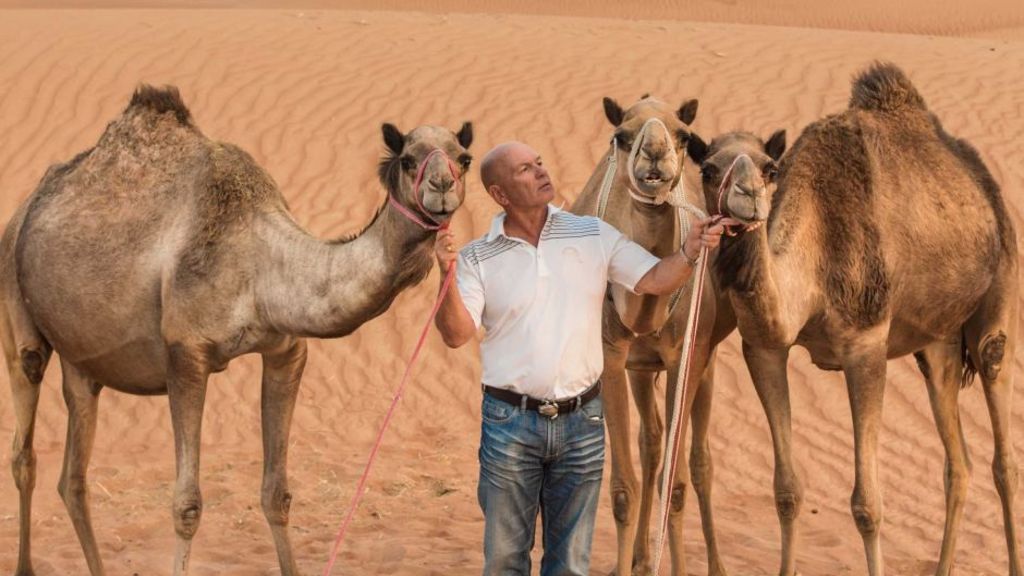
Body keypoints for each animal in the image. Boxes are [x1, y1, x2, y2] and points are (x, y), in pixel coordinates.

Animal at [0, 85, 474, 576]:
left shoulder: (287, 351)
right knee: (24, 448)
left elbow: (277, 494)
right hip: (16, 300)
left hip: (82, 362)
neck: (260, 265)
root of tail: (24, 208)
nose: (442, 186)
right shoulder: (185, 356)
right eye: (408, 158)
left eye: (465, 158)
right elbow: (186, 505)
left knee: (73, 477)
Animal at [570, 95, 733, 576]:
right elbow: (624, 489)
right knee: (652, 441)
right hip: (641, 369)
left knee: (696, 460)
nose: (656, 153)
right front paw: (630, 561)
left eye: (683, 136)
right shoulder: (611, 353)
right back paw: (642, 557)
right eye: (621, 136)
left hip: (704, 359)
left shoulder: (686, 355)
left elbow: (674, 489)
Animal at [686, 62, 1019, 576]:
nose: (747, 196)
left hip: (997, 300)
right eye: (708, 168)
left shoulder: (865, 348)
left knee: (1002, 457)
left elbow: (867, 505)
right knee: (958, 462)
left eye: (768, 168)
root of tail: (980, 178)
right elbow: (787, 491)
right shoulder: (763, 348)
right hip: (937, 344)